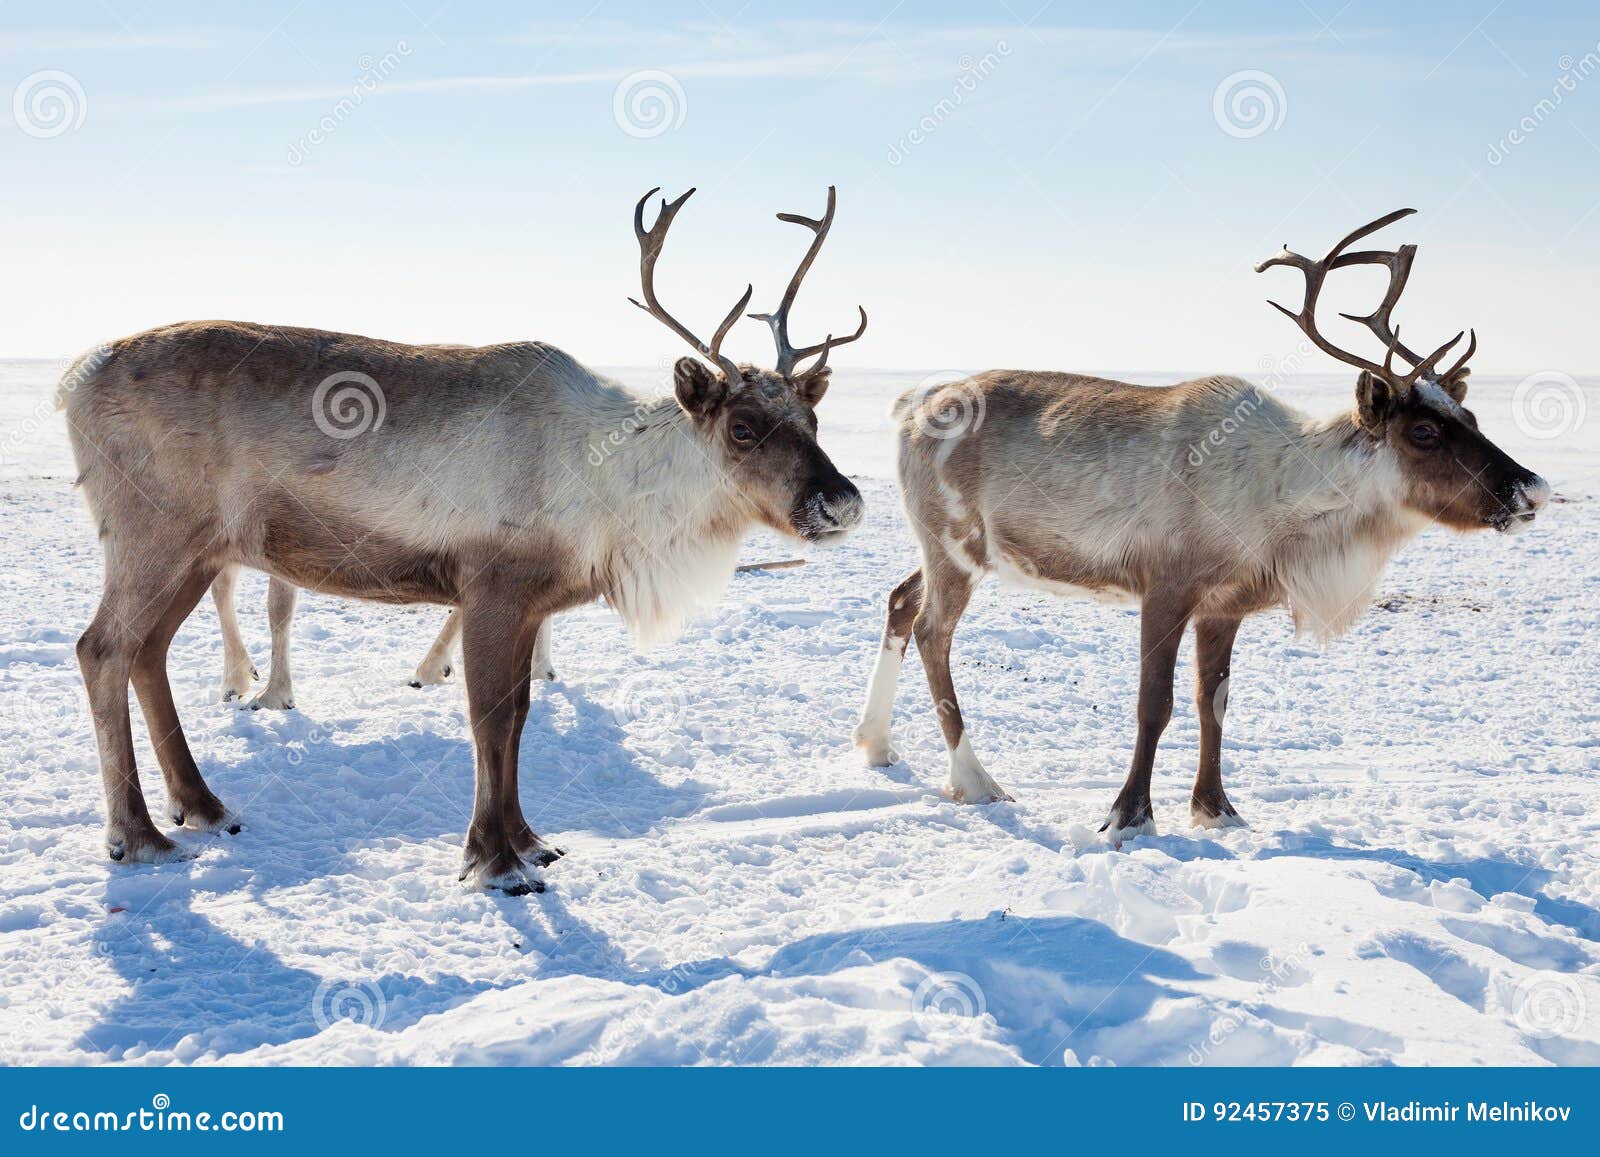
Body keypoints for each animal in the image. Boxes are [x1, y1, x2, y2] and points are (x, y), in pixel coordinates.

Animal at [208, 570, 557, 711]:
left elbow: (278, 605)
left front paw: (272, 697)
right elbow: (221, 584)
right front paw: (234, 683)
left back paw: (428, 669)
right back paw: (539, 668)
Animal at [851, 209, 1549, 844]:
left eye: (1471, 416)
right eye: (1424, 431)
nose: (1533, 489)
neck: (1289, 506)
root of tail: (909, 404)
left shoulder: (1226, 605)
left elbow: (1212, 705)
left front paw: (1217, 810)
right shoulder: (1165, 586)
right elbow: (1153, 704)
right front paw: (1127, 817)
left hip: (954, 548)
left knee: (900, 599)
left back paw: (875, 743)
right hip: (953, 546)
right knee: (932, 631)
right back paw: (975, 780)